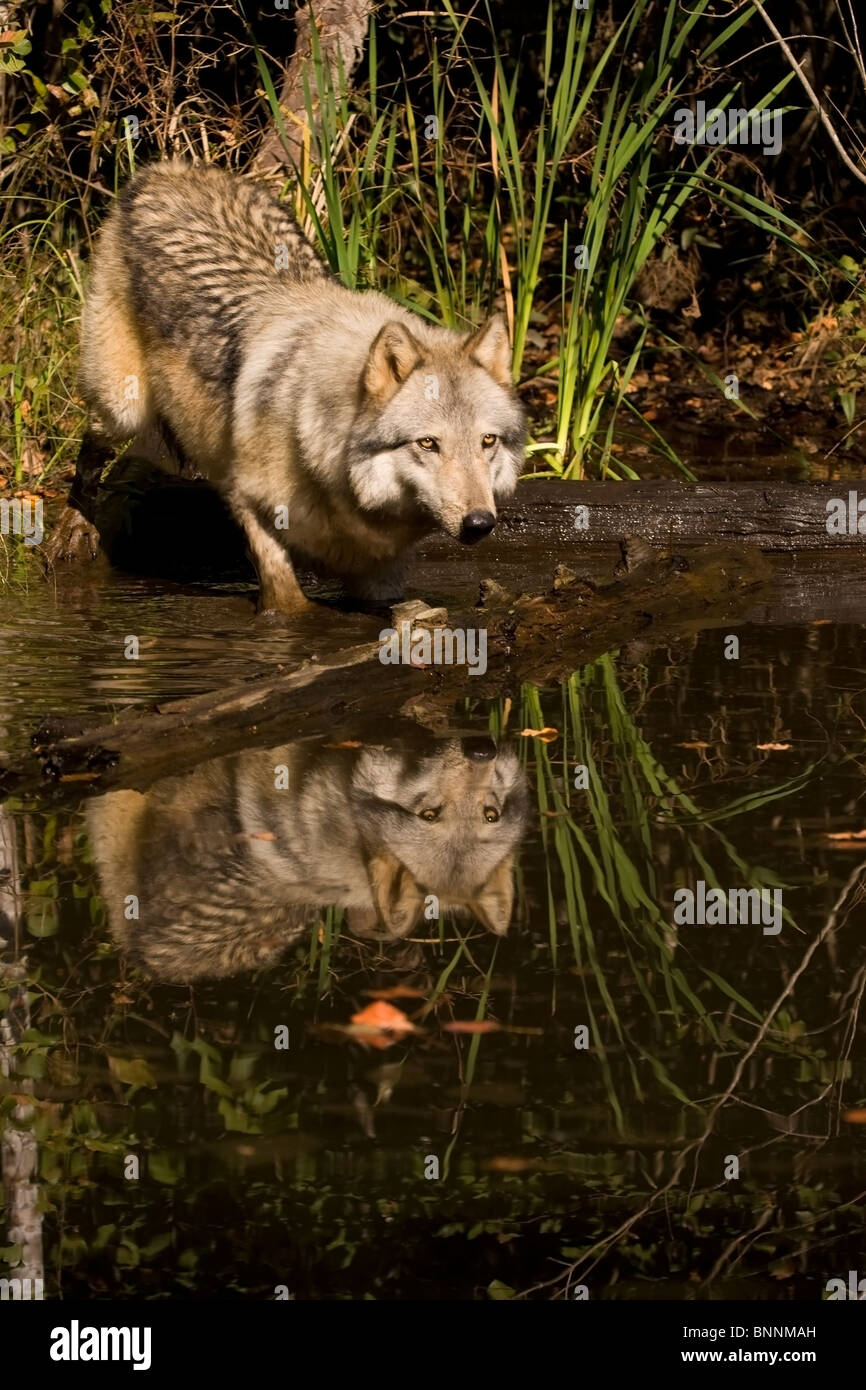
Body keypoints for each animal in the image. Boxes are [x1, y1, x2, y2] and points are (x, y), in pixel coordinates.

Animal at [46, 161, 527, 611]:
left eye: (487, 441)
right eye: (428, 443)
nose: (480, 523)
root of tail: (169, 168)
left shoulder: (381, 573)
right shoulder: (251, 505)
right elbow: (289, 602)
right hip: (123, 404)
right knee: (92, 448)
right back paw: (72, 533)